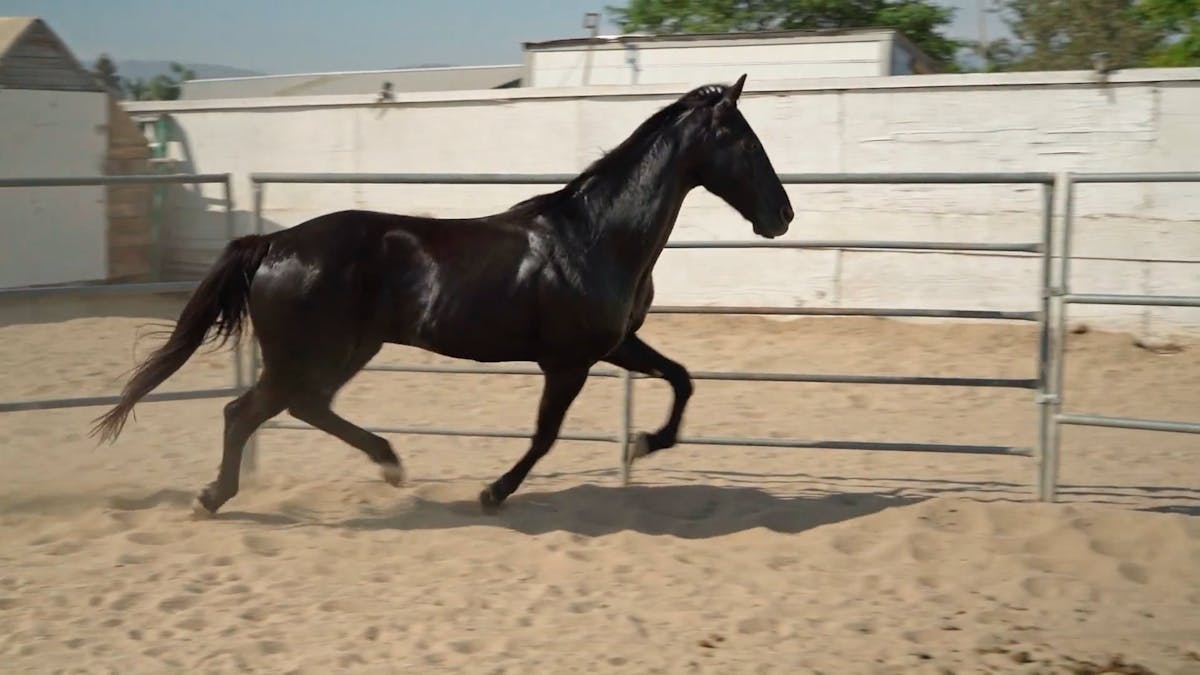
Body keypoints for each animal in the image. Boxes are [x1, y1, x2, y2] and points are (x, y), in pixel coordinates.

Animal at [90, 74, 794, 516]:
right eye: (744, 142)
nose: (782, 216)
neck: (595, 235)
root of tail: (273, 243)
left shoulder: (616, 344)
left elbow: (682, 378)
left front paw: (643, 443)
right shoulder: (567, 362)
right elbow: (544, 436)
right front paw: (493, 493)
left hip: (346, 351)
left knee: (305, 407)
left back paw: (389, 464)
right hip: (307, 354)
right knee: (246, 412)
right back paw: (215, 498)